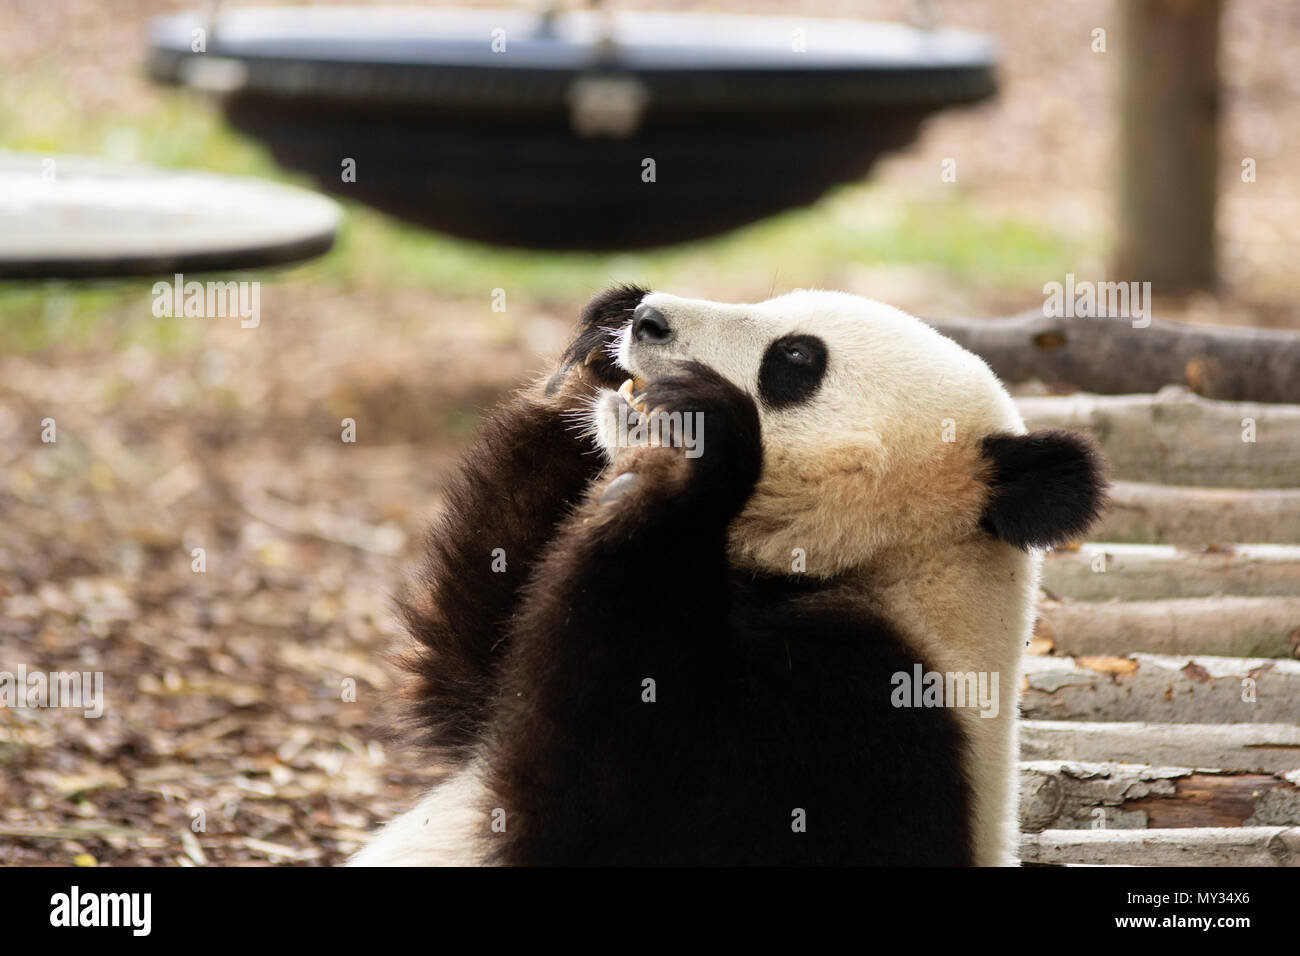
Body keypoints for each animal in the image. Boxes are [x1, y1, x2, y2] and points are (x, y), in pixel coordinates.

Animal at [351, 285, 1106, 866]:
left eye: (795, 359)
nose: (649, 320)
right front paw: (595, 348)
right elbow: (471, 669)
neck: (891, 566)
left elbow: (597, 790)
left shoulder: (857, 723)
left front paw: (698, 441)